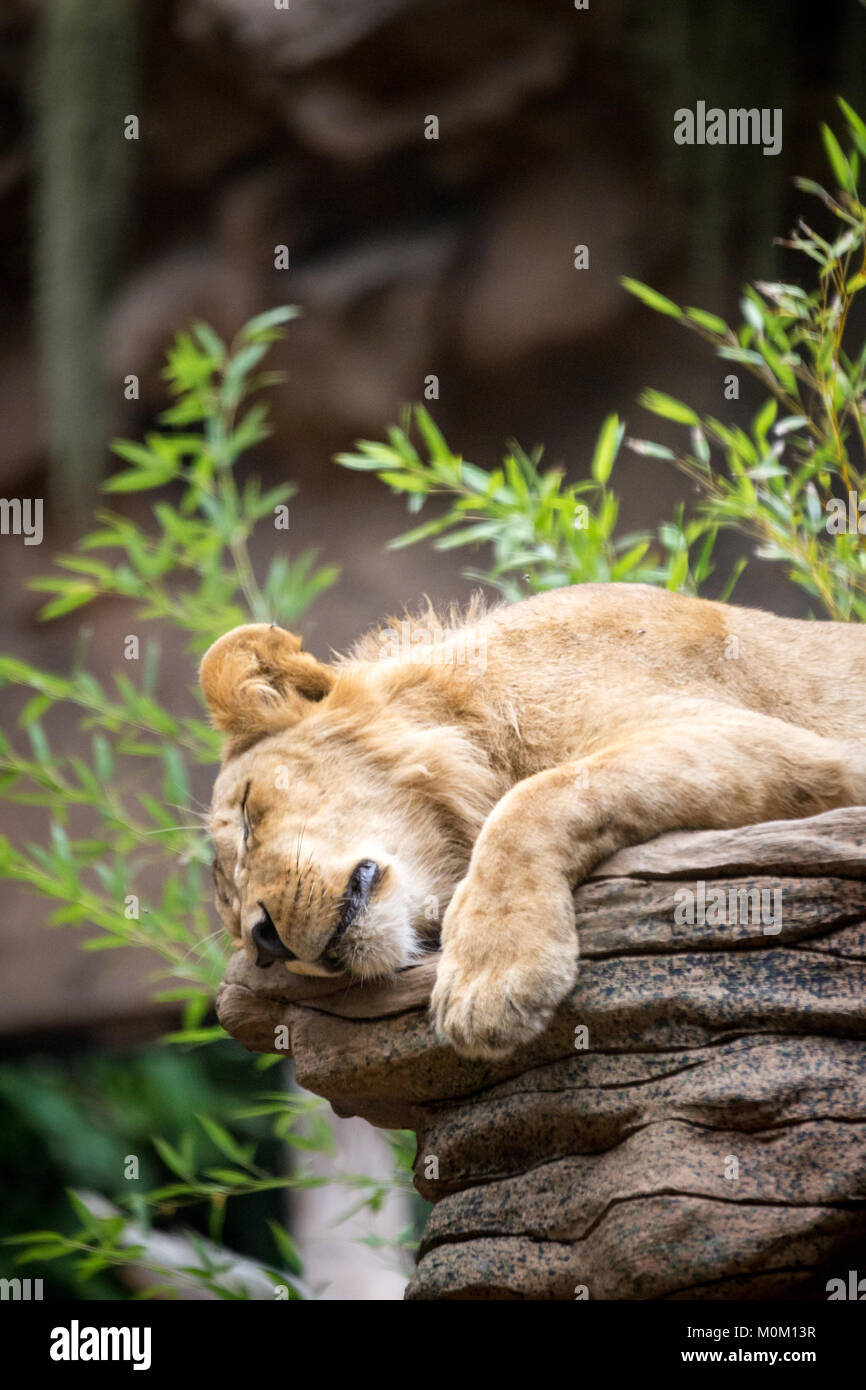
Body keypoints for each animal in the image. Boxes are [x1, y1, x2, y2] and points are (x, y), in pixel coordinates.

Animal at [201, 582, 866, 1059]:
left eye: (250, 810)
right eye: (236, 929)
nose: (264, 942)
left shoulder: (788, 745)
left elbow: (532, 799)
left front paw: (491, 980)